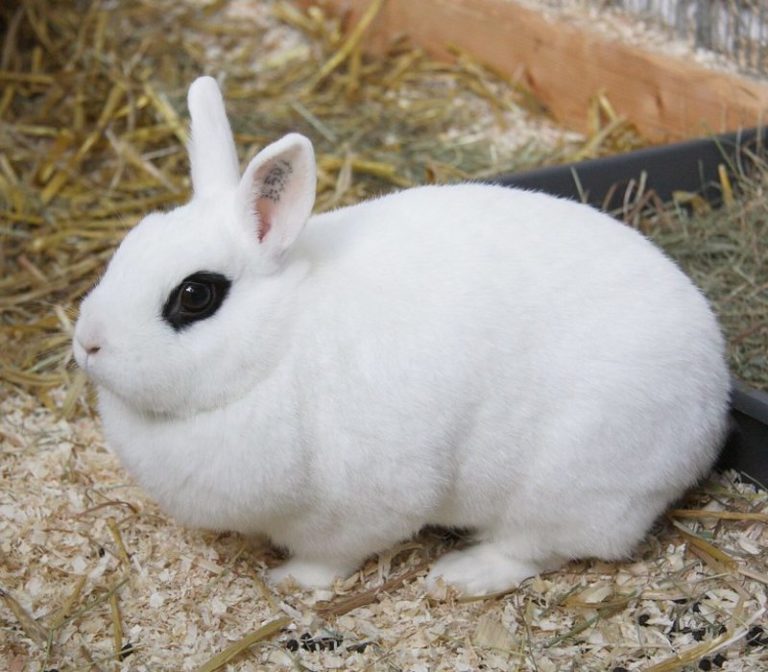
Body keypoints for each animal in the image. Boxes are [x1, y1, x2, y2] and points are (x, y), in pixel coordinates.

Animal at [72, 76, 731, 596]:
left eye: (195, 296)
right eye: (131, 241)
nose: (87, 344)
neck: (278, 347)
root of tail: (713, 407)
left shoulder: (360, 507)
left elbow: (330, 557)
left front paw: (289, 581)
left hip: (568, 487)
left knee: (537, 547)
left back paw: (461, 576)